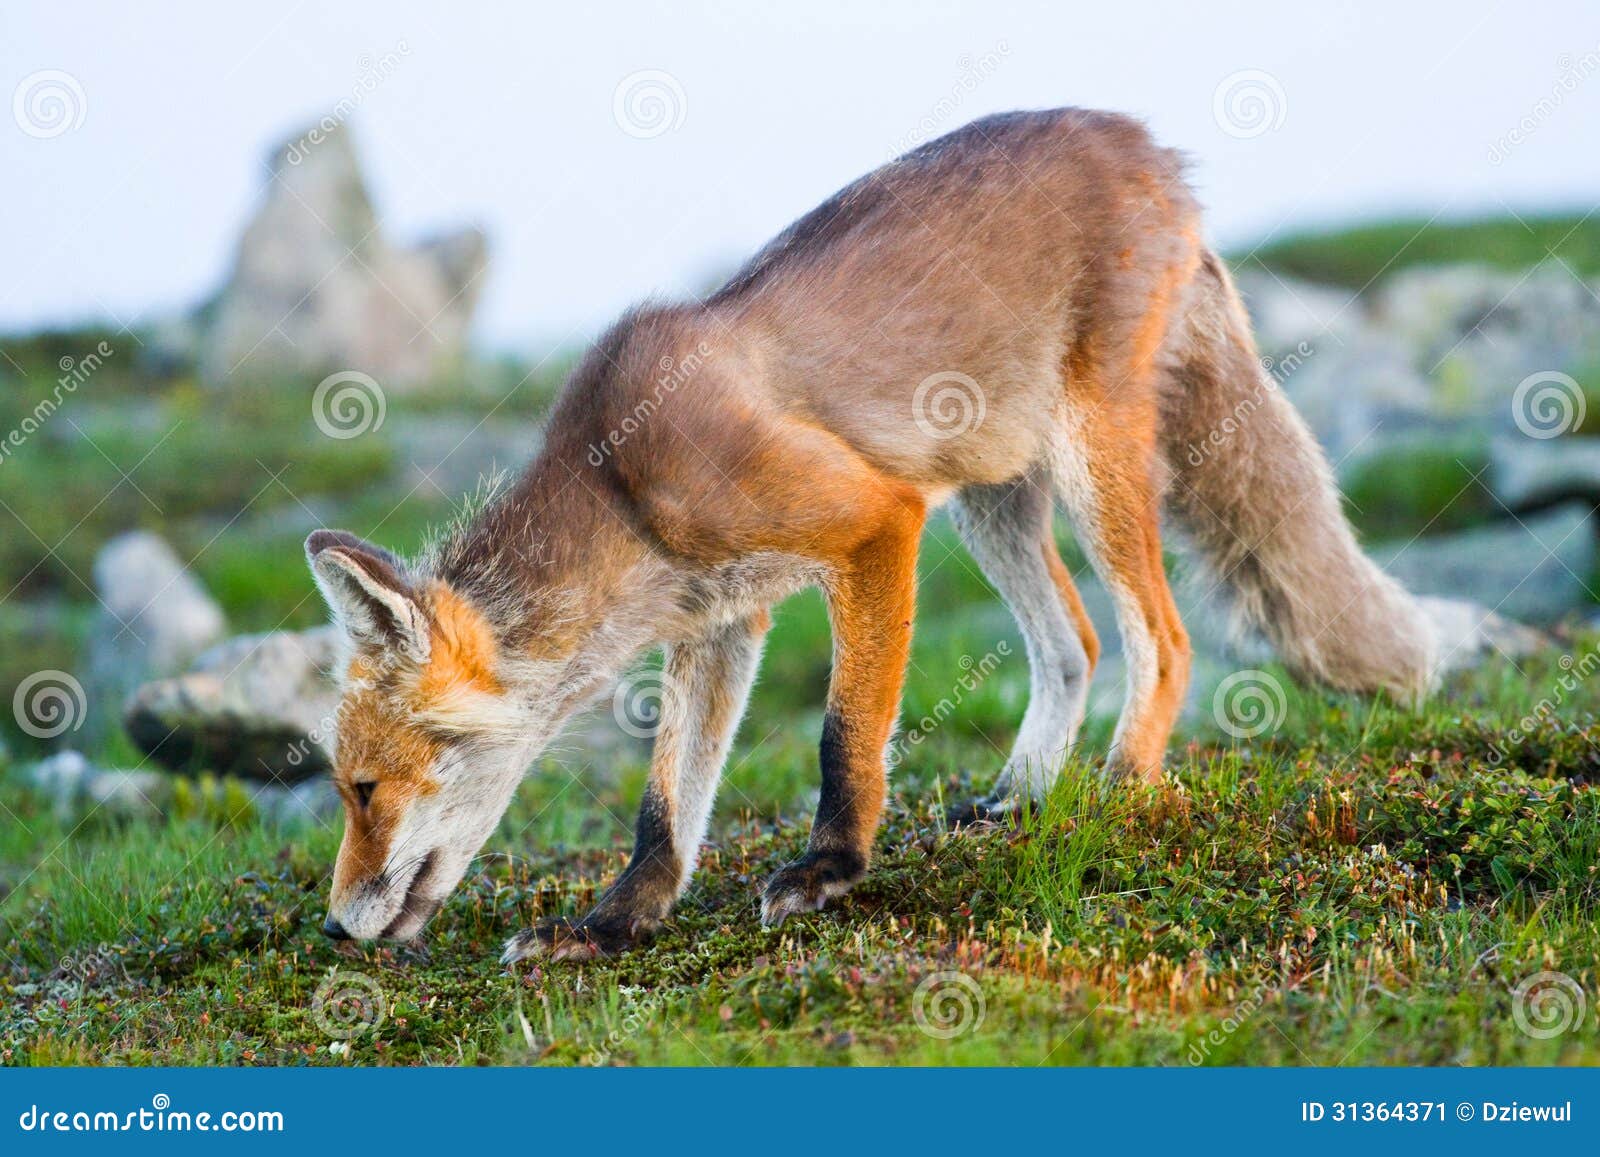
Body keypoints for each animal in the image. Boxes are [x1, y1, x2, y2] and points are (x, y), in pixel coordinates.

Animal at [306, 108, 1435, 961]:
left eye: (363, 788)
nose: (330, 928)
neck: (619, 484)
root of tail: (1147, 144)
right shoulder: (722, 620)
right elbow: (666, 804)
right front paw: (615, 922)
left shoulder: (873, 524)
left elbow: (843, 735)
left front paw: (831, 868)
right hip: (992, 494)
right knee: (1074, 643)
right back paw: (1022, 797)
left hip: (1090, 461)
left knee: (1163, 637)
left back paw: (1115, 795)